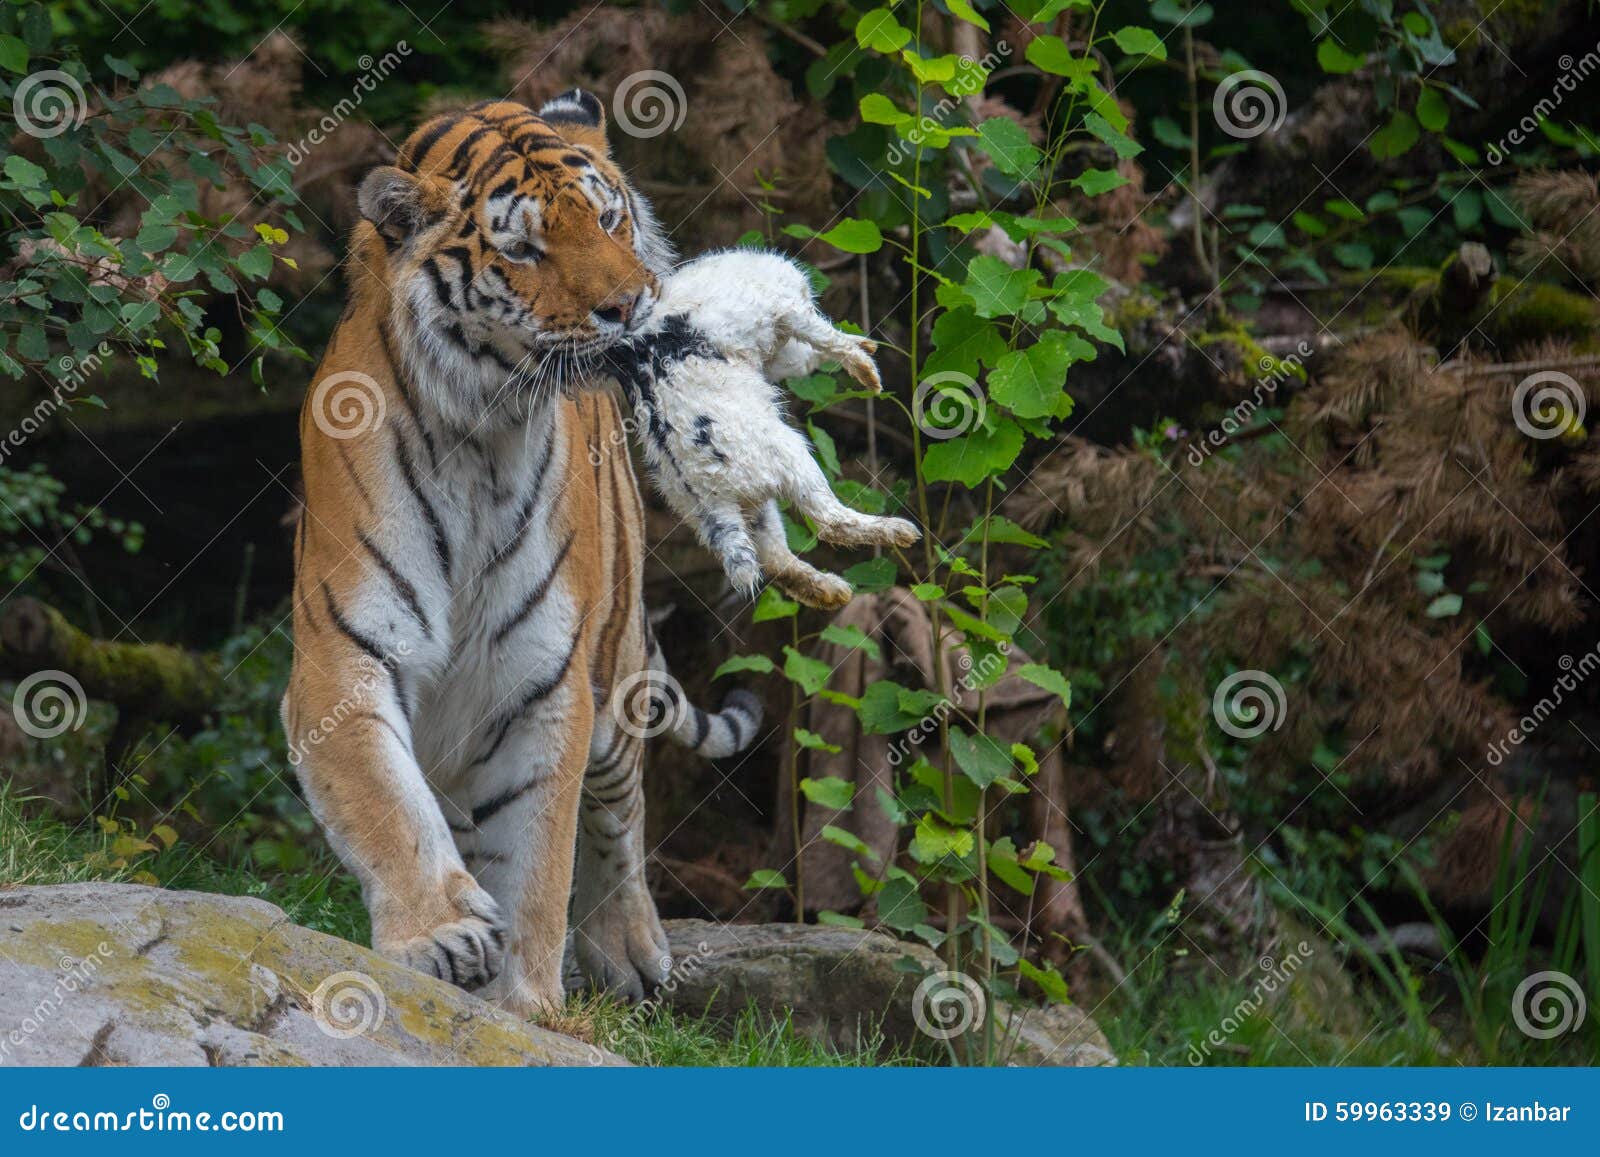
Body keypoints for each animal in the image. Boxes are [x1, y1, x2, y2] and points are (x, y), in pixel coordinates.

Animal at [280, 89, 762, 1016]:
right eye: (525, 248)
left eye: (607, 220)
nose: (632, 305)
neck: (480, 433)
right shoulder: (343, 653)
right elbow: (381, 795)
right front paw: (441, 935)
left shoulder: (545, 680)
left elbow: (540, 857)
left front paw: (526, 1004)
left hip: (616, 669)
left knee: (620, 813)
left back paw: (632, 949)